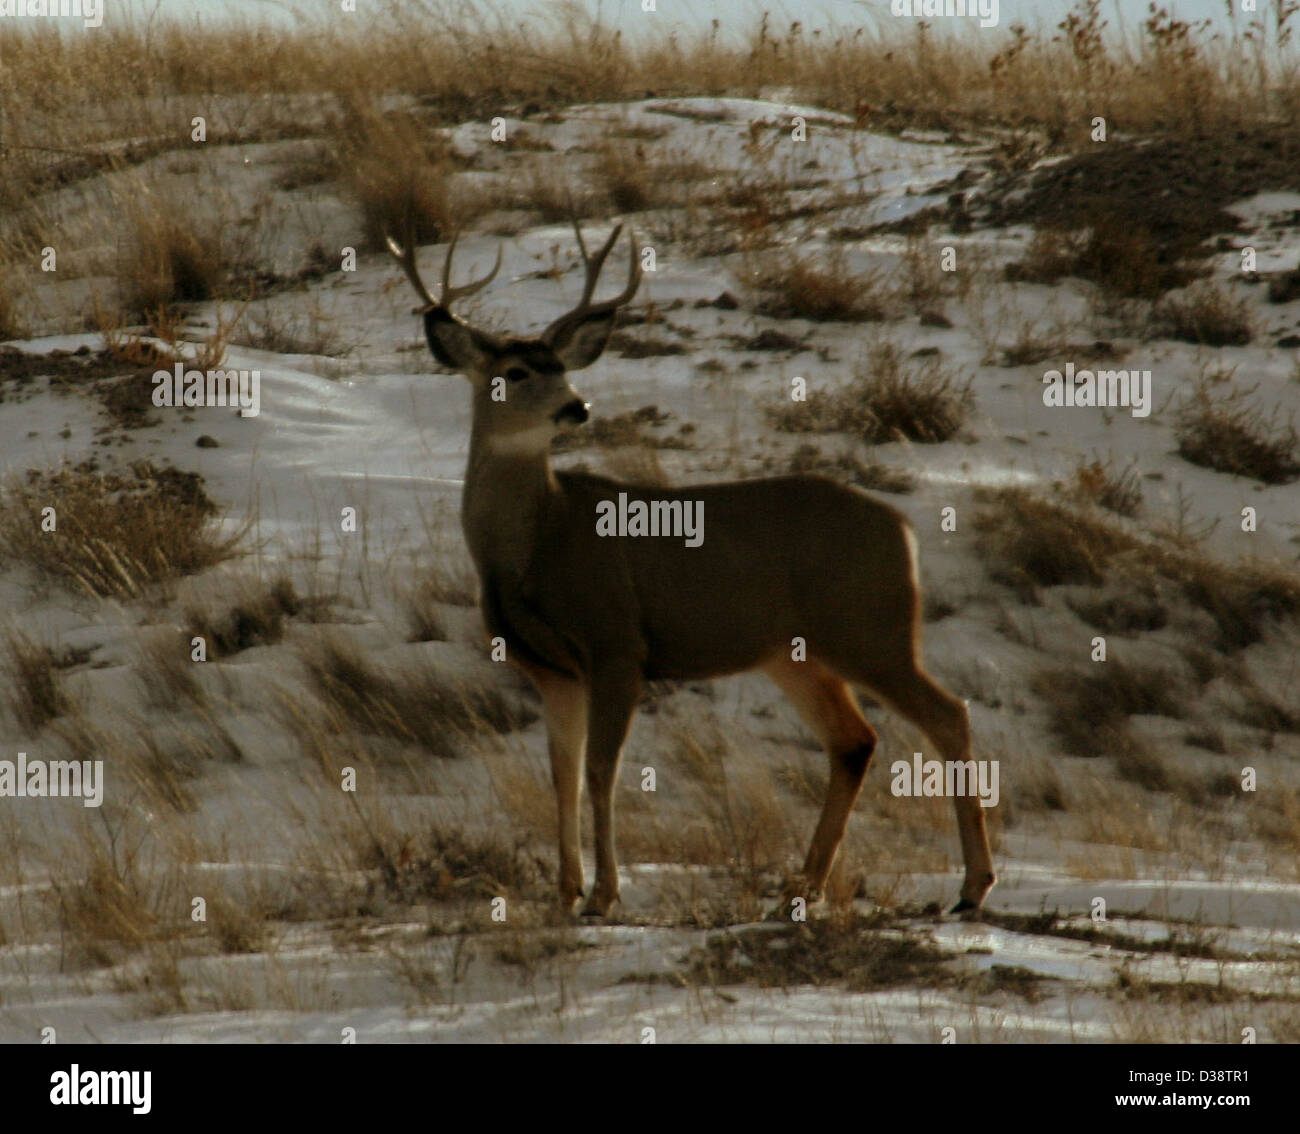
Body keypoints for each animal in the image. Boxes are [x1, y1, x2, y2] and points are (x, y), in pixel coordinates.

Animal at [386, 217, 995, 919]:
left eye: (560, 367)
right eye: (514, 371)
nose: (577, 407)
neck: (534, 543)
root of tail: (905, 530)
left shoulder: (617, 642)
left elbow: (601, 770)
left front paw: (604, 894)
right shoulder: (549, 669)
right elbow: (562, 775)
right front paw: (565, 892)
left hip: (870, 630)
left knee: (948, 714)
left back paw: (972, 887)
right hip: (794, 653)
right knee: (855, 741)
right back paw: (803, 886)